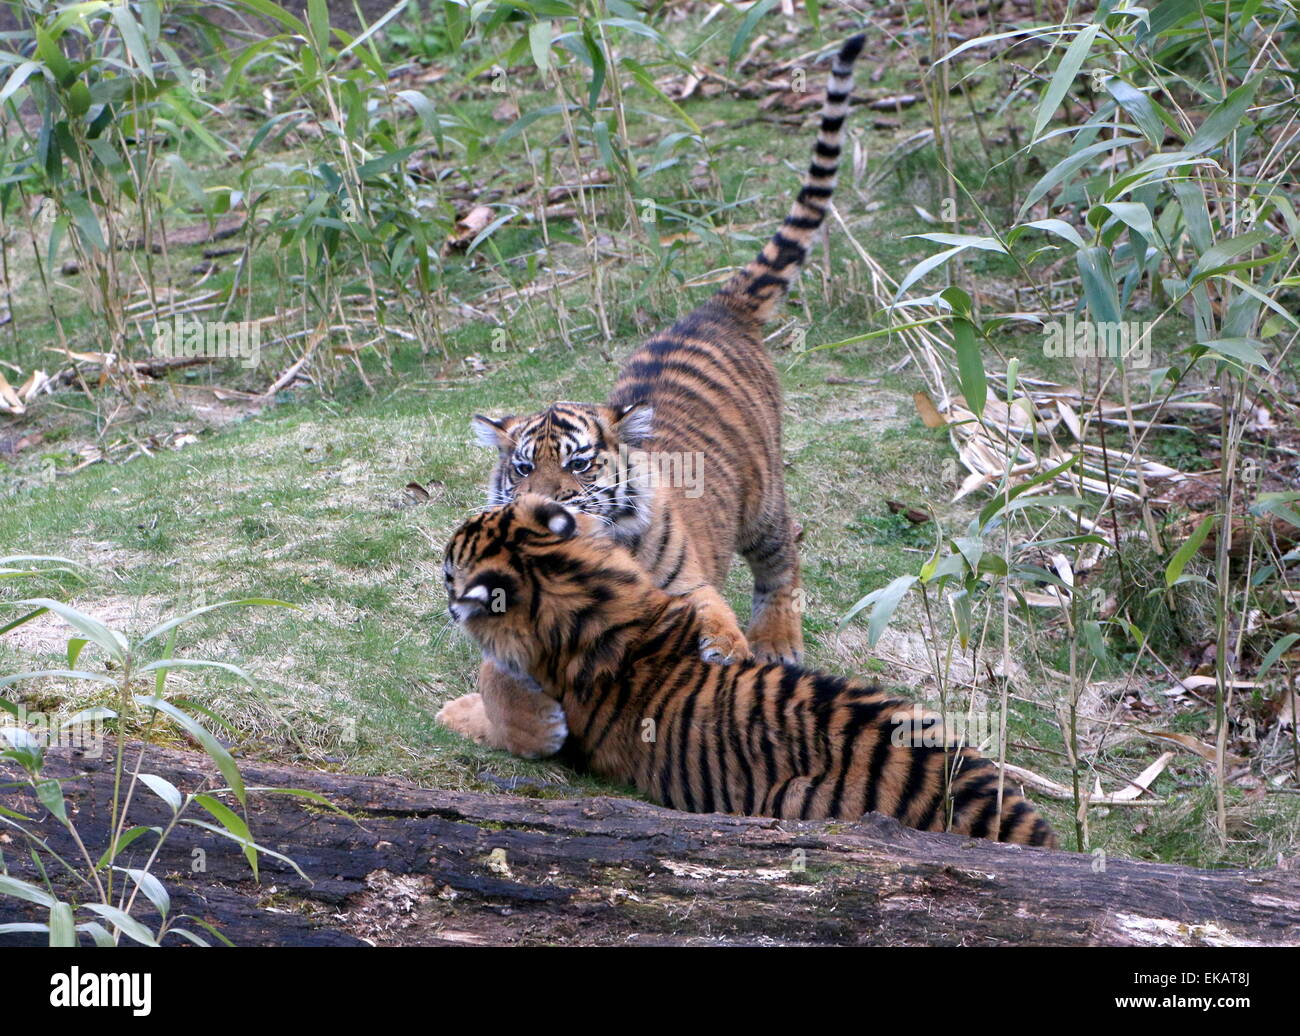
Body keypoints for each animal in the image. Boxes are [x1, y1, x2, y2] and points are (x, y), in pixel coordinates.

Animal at [435, 33, 869, 759]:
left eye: (579, 465)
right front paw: (529, 724)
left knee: (782, 557)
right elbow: (495, 679)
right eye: (521, 470)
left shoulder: (685, 581)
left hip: (762, 499)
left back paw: (775, 638)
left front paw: (726, 645)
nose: (541, 507)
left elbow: (708, 606)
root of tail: (715, 308)